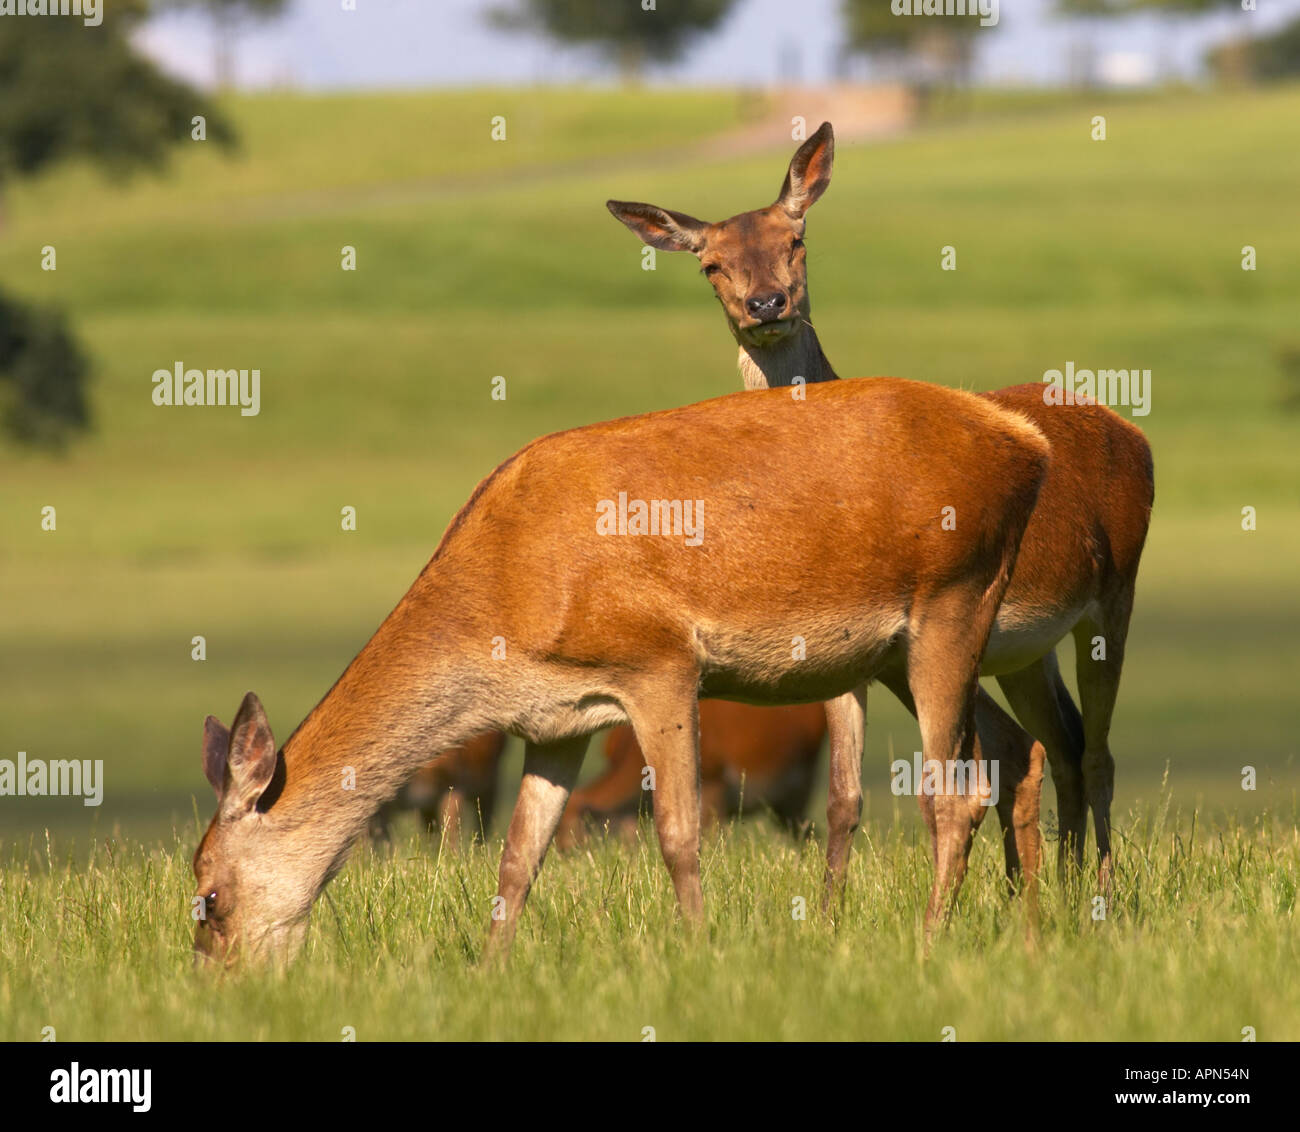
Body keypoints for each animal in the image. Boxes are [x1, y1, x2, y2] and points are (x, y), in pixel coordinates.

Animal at [606, 121, 1154, 900]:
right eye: (711, 265)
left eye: (796, 239)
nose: (767, 305)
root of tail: (1133, 433)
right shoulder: (838, 647)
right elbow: (843, 799)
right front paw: (830, 915)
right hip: (1021, 649)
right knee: (1059, 742)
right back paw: (1057, 888)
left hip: (1113, 593)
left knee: (1097, 750)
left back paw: (1096, 892)